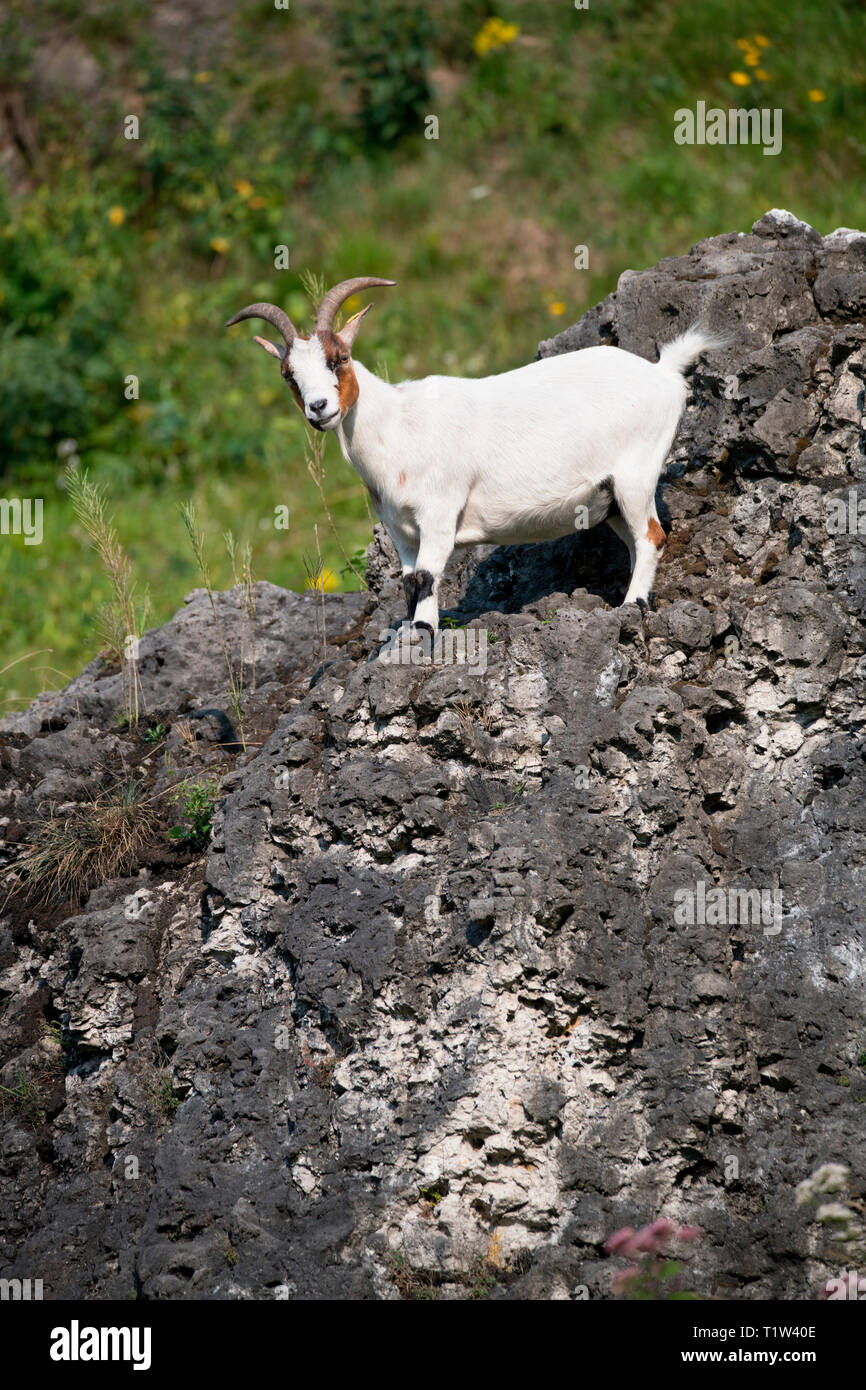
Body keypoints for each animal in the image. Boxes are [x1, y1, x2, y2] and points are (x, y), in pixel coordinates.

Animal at [226, 278, 720, 633]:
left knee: (652, 536)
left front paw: (424, 634)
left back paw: (632, 605)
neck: (398, 426)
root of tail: (663, 372)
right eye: (289, 374)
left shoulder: (440, 511)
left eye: (340, 357)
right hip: (610, 496)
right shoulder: (400, 528)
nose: (319, 408)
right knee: (638, 540)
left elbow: (427, 576)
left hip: (636, 473)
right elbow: (408, 581)